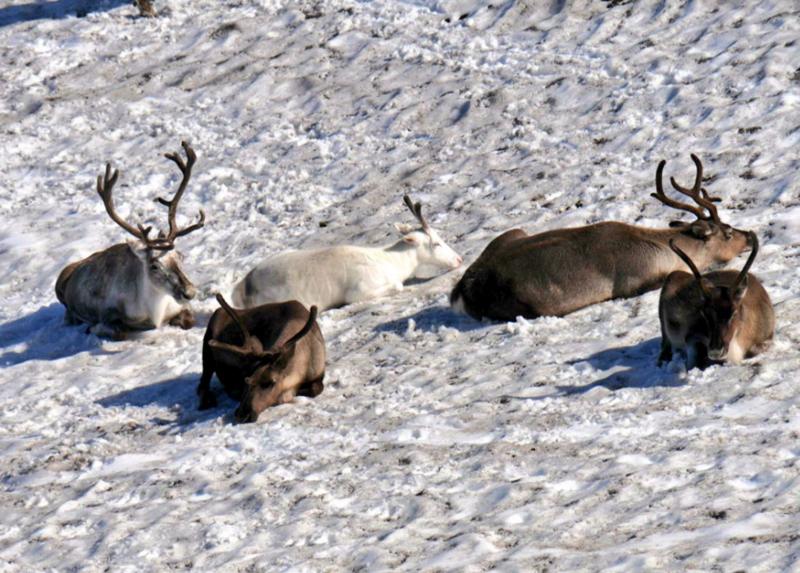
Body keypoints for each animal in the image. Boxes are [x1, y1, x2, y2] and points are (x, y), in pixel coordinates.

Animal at [55, 141, 205, 338]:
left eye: (180, 256)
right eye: (154, 265)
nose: (190, 292)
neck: (154, 314)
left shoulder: (180, 307)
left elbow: (189, 320)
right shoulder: (108, 314)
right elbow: (120, 331)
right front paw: (92, 328)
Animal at [198, 294, 326, 423]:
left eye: (270, 383)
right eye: (246, 380)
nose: (242, 415)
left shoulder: (319, 373)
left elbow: (314, 389)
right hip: (207, 351)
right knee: (202, 384)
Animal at [231, 195, 463, 311]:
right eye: (436, 243)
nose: (459, 259)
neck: (391, 262)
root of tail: (242, 290)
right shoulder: (358, 291)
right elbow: (396, 286)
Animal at [450, 154, 753, 321]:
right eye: (728, 232)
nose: (750, 235)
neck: (662, 249)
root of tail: (463, 288)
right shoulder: (634, 282)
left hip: (513, 232)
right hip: (537, 305)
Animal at [658, 233, 774, 369]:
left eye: (733, 312)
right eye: (704, 314)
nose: (716, 352)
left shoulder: (767, 337)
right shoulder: (692, 335)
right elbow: (693, 361)